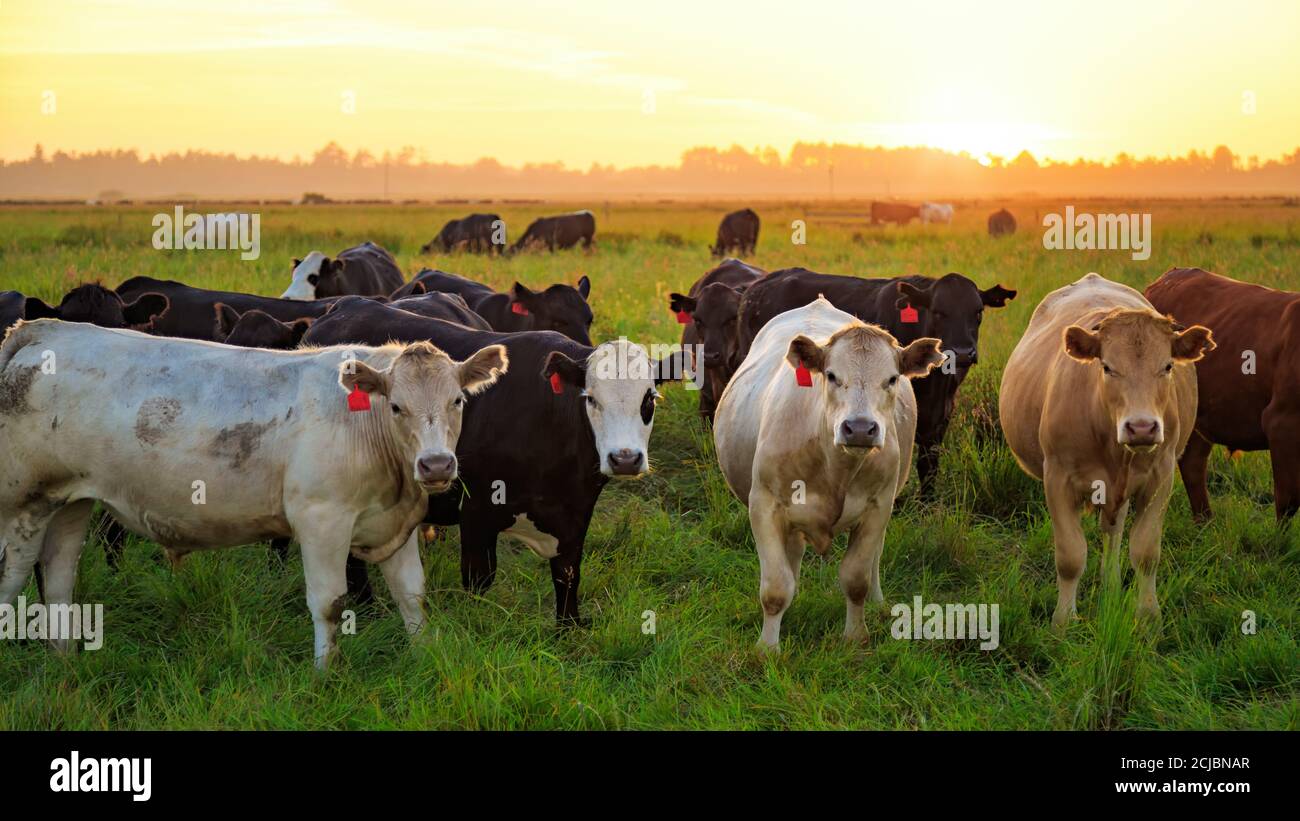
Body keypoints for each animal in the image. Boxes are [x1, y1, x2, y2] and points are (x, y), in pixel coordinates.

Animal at [0, 319, 507, 668]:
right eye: (397, 406)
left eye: (457, 401)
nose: (436, 464)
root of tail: (48, 328)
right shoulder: (321, 520)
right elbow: (330, 602)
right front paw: (325, 674)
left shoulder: (395, 523)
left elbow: (412, 597)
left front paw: (425, 657)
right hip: (23, 503)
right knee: (13, 576)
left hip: (70, 501)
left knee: (58, 577)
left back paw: (64, 659)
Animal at [304, 296, 679, 624]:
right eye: (591, 398)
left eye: (650, 399)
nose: (625, 459)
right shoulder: (477, 513)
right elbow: (479, 580)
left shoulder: (576, 512)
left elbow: (568, 575)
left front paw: (568, 628)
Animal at [714, 297, 943, 649]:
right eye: (832, 375)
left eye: (892, 378)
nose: (860, 428)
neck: (835, 466)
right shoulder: (764, 504)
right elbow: (776, 588)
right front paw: (767, 648)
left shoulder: (878, 506)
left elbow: (856, 579)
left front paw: (856, 636)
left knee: (874, 558)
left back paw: (877, 601)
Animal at [737, 268, 1015, 493]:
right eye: (939, 312)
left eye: (978, 312)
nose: (963, 352)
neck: (935, 386)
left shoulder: (939, 420)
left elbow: (928, 468)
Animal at [999, 273, 1214, 628]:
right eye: (1108, 367)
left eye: (1168, 366)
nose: (1141, 427)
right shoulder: (1057, 479)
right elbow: (1070, 556)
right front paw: (1063, 620)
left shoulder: (1160, 478)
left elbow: (1146, 552)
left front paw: (1148, 616)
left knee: (1113, 533)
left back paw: (1111, 583)